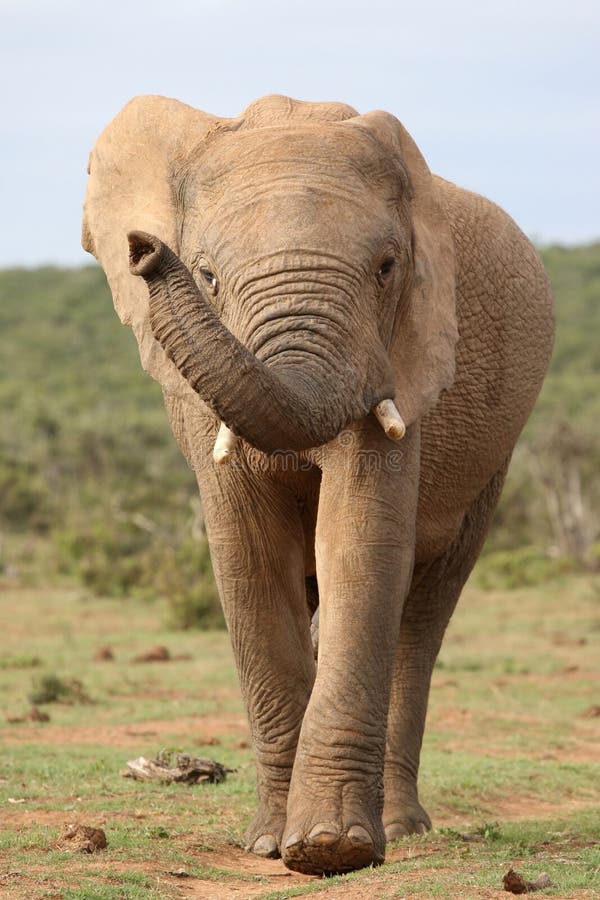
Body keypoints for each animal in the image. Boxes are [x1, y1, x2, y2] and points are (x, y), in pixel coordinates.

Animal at [82, 93, 554, 876]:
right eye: (208, 277)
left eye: (388, 267)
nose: (145, 249)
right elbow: (250, 556)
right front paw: (272, 844)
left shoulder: (402, 352)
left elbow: (360, 545)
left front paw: (333, 848)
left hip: (494, 456)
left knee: (422, 615)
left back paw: (402, 826)